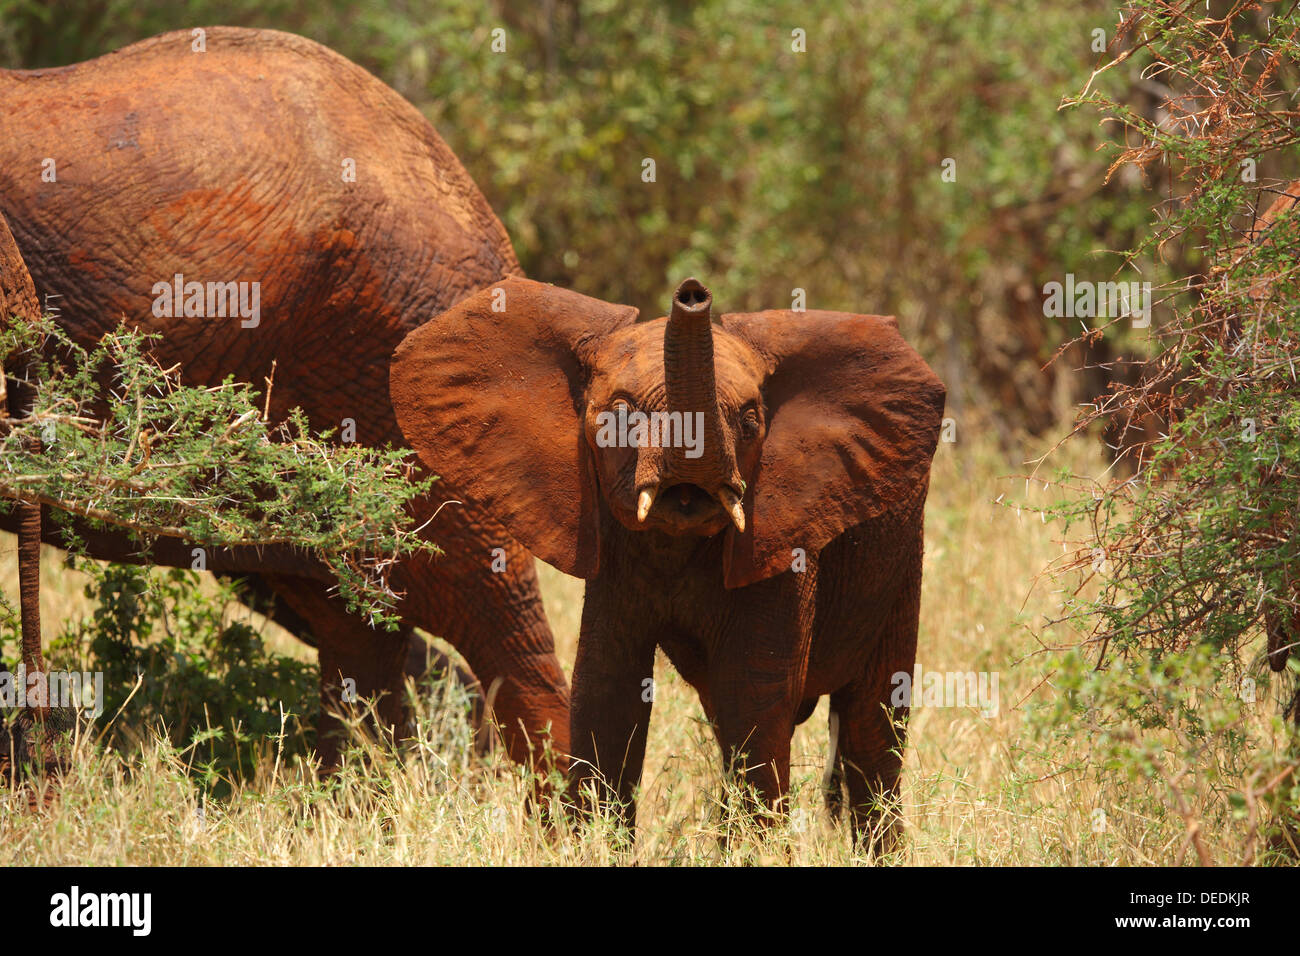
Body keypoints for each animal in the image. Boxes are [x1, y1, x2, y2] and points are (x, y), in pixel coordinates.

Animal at [390, 275, 947, 847]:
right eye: (619, 416)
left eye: (751, 421)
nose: (693, 292)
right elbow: (607, 684)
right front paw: (596, 844)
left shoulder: (784, 537)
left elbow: (753, 689)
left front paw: (750, 851)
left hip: (904, 550)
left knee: (871, 726)